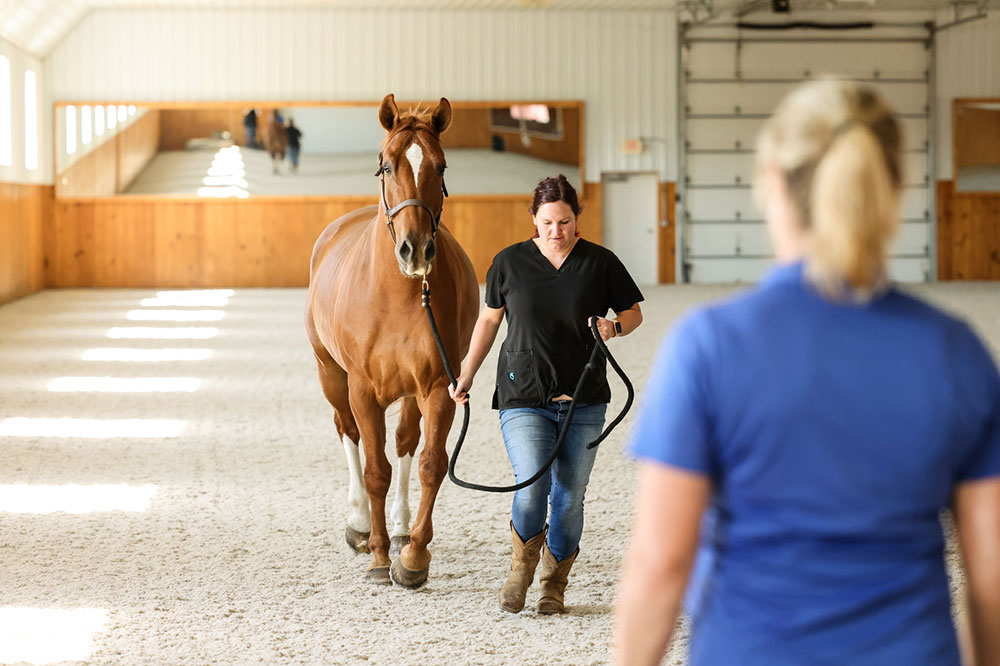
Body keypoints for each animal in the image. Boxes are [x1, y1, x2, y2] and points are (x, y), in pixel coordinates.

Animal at [304, 95, 478, 588]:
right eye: (386, 165)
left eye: (440, 166)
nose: (414, 249)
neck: (400, 295)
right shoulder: (363, 389)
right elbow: (375, 470)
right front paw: (379, 555)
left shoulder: (438, 386)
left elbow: (429, 463)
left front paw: (413, 556)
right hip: (331, 376)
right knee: (348, 433)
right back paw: (361, 524)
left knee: (404, 442)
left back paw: (399, 528)